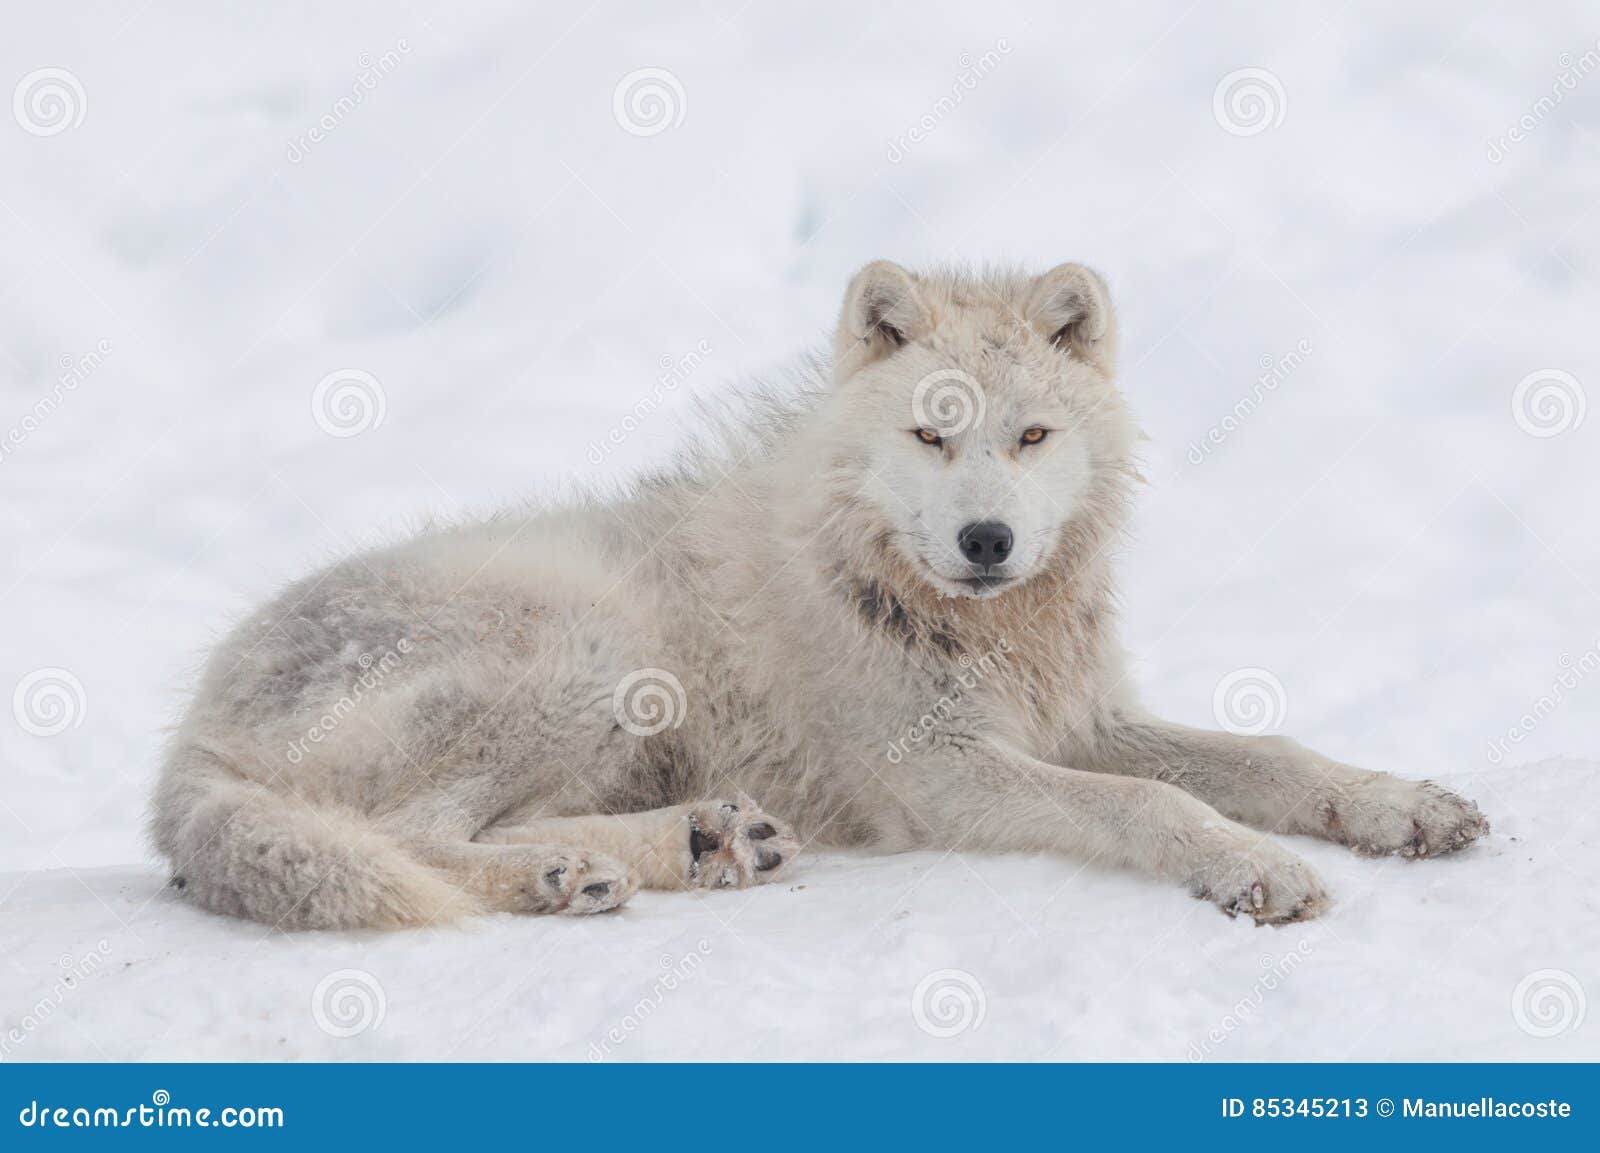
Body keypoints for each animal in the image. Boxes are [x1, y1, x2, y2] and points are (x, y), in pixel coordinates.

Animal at [150, 260, 1488, 930]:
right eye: (930, 434)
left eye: (1031, 434)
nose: (989, 537)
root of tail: (187, 743)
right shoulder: (939, 767)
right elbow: (1151, 801)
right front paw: (1250, 869)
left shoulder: (1078, 718)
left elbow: (1270, 755)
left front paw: (1399, 805)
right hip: (591, 650)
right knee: (415, 836)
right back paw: (587, 873)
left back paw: (699, 844)